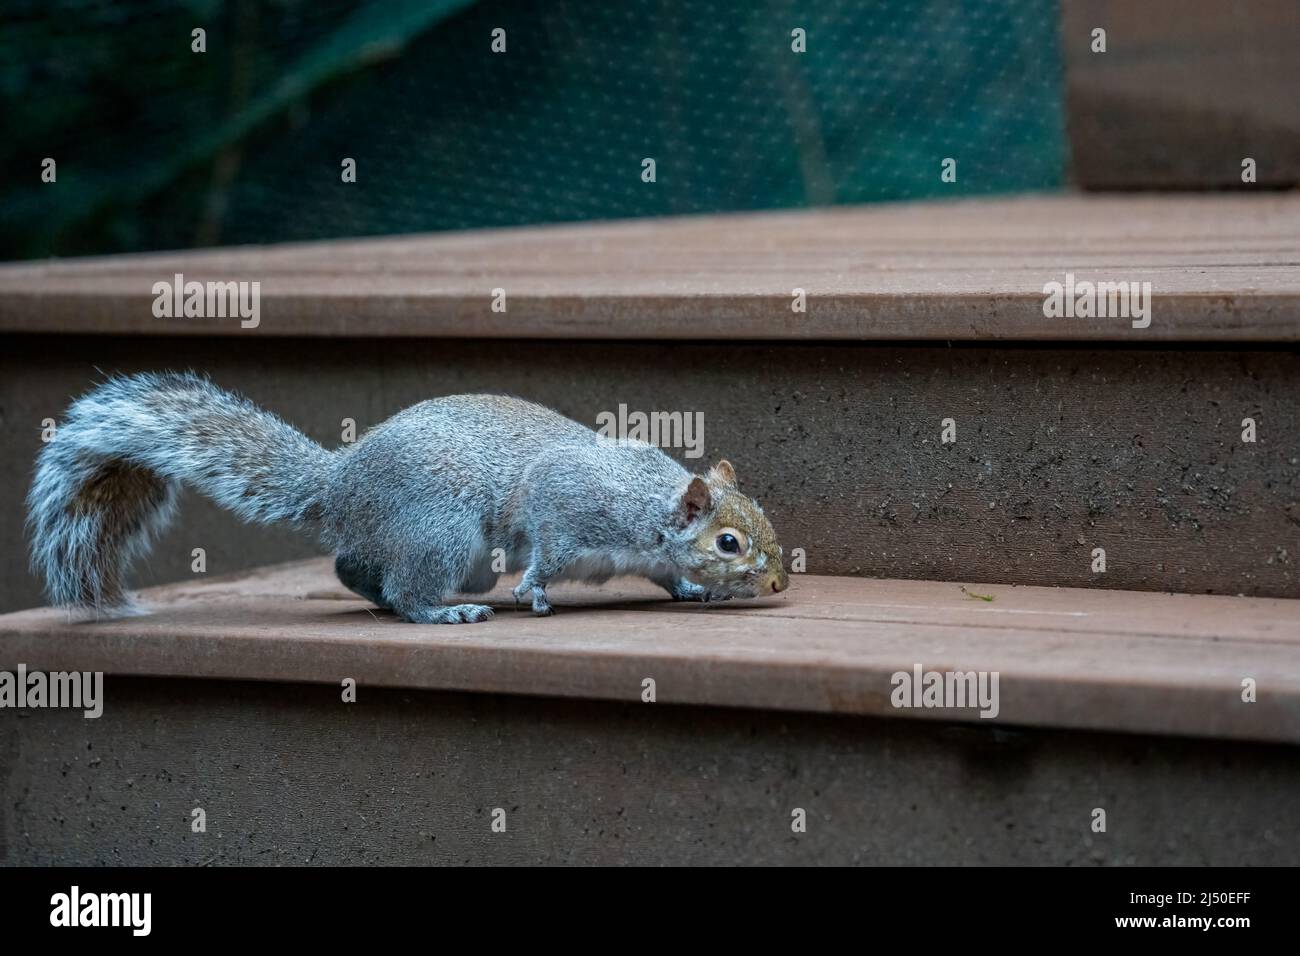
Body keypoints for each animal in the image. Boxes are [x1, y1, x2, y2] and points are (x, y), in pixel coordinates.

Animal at [27, 372, 789, 624]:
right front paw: (535, 591)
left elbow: (668, 575)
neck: (647, 505)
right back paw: (444, 612)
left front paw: (692, 590)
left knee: (354, 569)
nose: (779, 581)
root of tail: (341, 485)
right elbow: (547, 549)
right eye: (729, 542)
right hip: (442, 531)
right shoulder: (568, 505)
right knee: (405, 588)